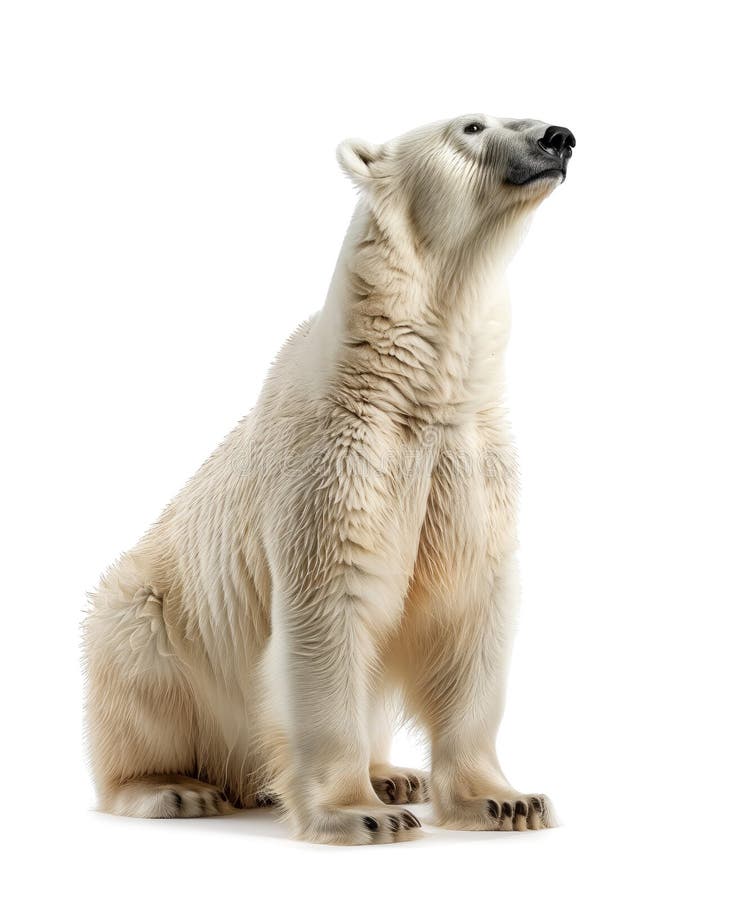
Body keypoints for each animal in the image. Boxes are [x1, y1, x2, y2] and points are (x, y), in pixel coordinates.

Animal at [84, 113, 575, 844]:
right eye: (470, 125)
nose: (558, 136)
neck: (410, 388)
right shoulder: (331, 465)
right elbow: (328, 612)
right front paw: (362, 815)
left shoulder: (467, 463)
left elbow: (466, 612)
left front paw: (506, 802)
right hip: (152, 613)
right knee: (139, 676)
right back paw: (175, 788)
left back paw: (395, 773)